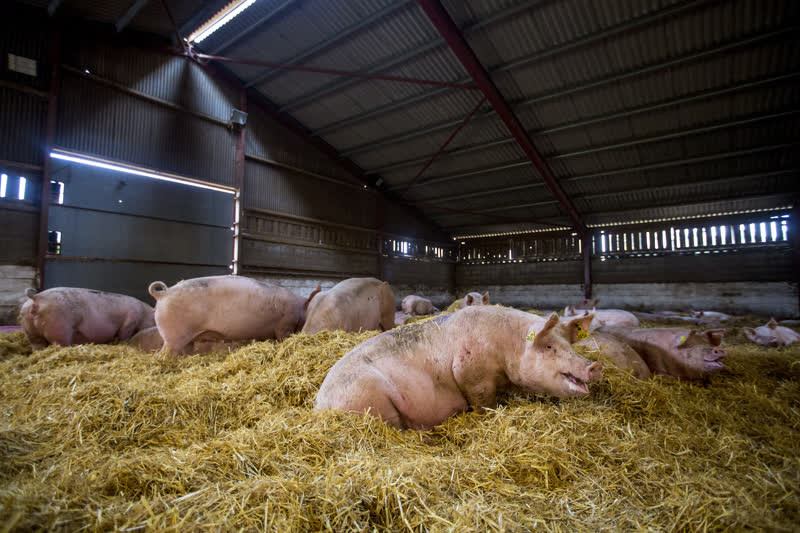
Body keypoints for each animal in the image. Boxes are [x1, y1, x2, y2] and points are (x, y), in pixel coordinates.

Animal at [19, 287, 154, 350]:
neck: (145, 313)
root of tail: (37, 297)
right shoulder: (131, 320)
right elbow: (124, 335)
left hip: (29, 331)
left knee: (36, 346)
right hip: (60, 328)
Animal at [149, 276, 318, 355]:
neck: (297, 306)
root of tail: (163, 294)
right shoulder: (285, 325)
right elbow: (284, 338)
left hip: (186, 338)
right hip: (173, 336)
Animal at [314, 308, 603, 430]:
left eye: (568, 344)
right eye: (549, 346)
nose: (595, 365)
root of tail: (319, 404)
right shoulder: (470, 373)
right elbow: (483, 402)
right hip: (371, 400)